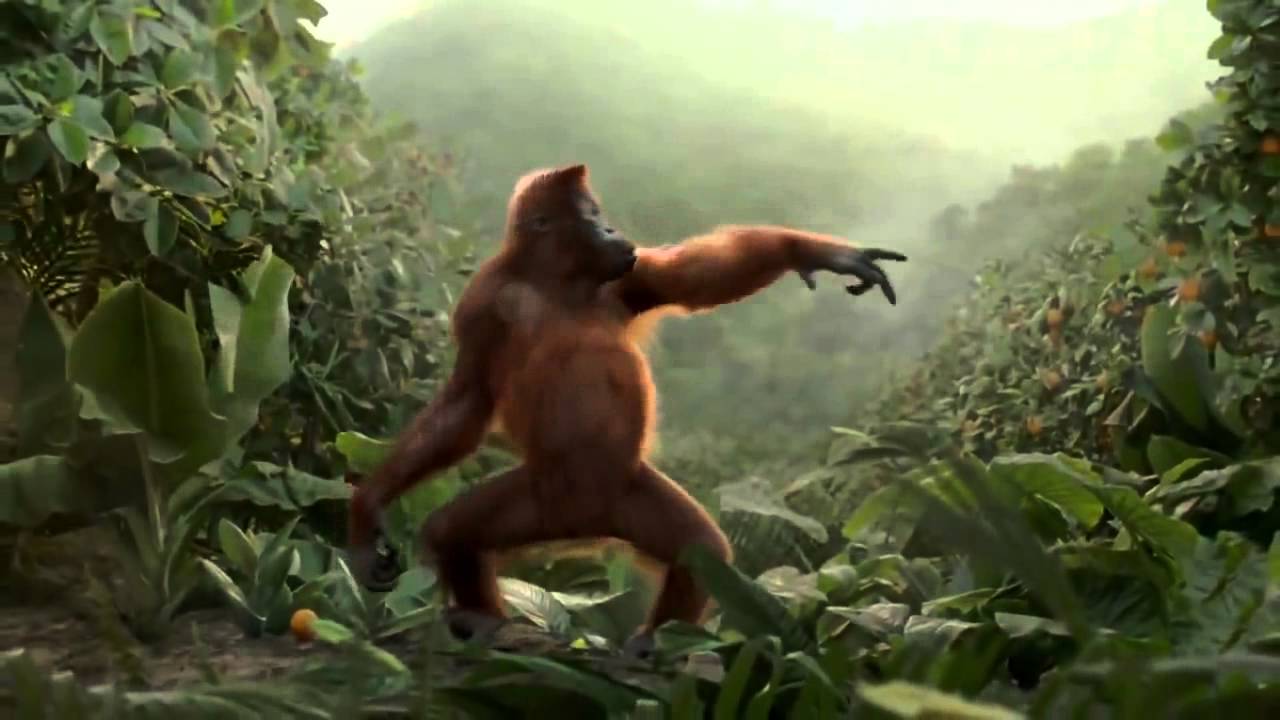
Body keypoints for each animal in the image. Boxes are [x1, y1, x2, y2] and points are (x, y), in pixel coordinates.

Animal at [346, 163, 906, 656]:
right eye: (592, 215)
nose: (611, 227)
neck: (557, 282)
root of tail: (583, 528)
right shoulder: (483, 302)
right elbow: (468, 399)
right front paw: (368, 507)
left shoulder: (628, 278)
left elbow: (694, 278)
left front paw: (817, 253)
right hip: (539, 496)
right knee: (452, 531)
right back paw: (482, 621)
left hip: (622, 494)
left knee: (700, 551)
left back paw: (657, 639)